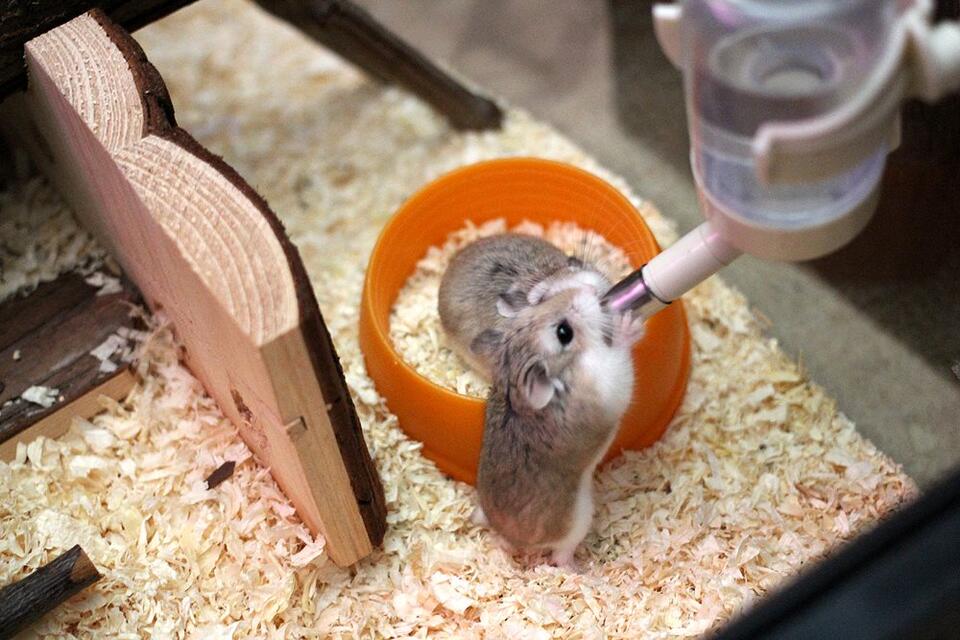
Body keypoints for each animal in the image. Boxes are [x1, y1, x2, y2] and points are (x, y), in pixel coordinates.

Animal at [471, 284, 645, 568]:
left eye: (543, 301)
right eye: (564, 333)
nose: (590, 290)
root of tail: (507, 536)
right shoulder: (603, 383)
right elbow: (618, 360)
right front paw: (627, 325)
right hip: (577, 522)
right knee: (560, 556)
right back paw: (580, 570)